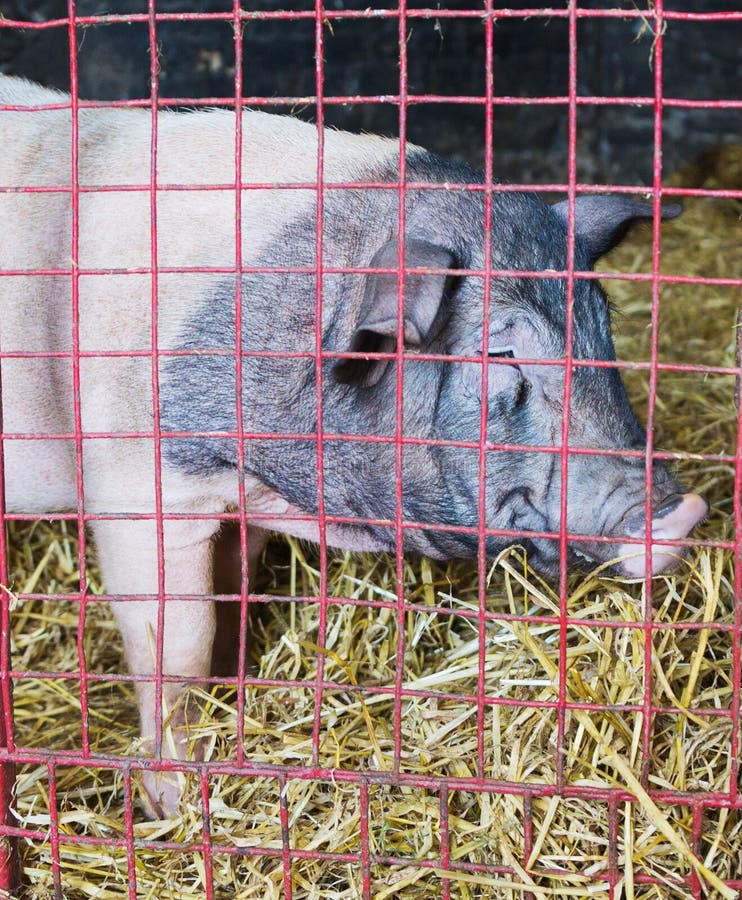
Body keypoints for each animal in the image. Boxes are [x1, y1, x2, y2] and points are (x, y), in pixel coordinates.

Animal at [0, 75, 707, 816]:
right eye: (501, 352)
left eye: (605, 336)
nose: (682, 513)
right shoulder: (138, 484)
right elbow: (179, 645)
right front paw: (179, 800)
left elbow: (236, 592)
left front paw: (235, 687)